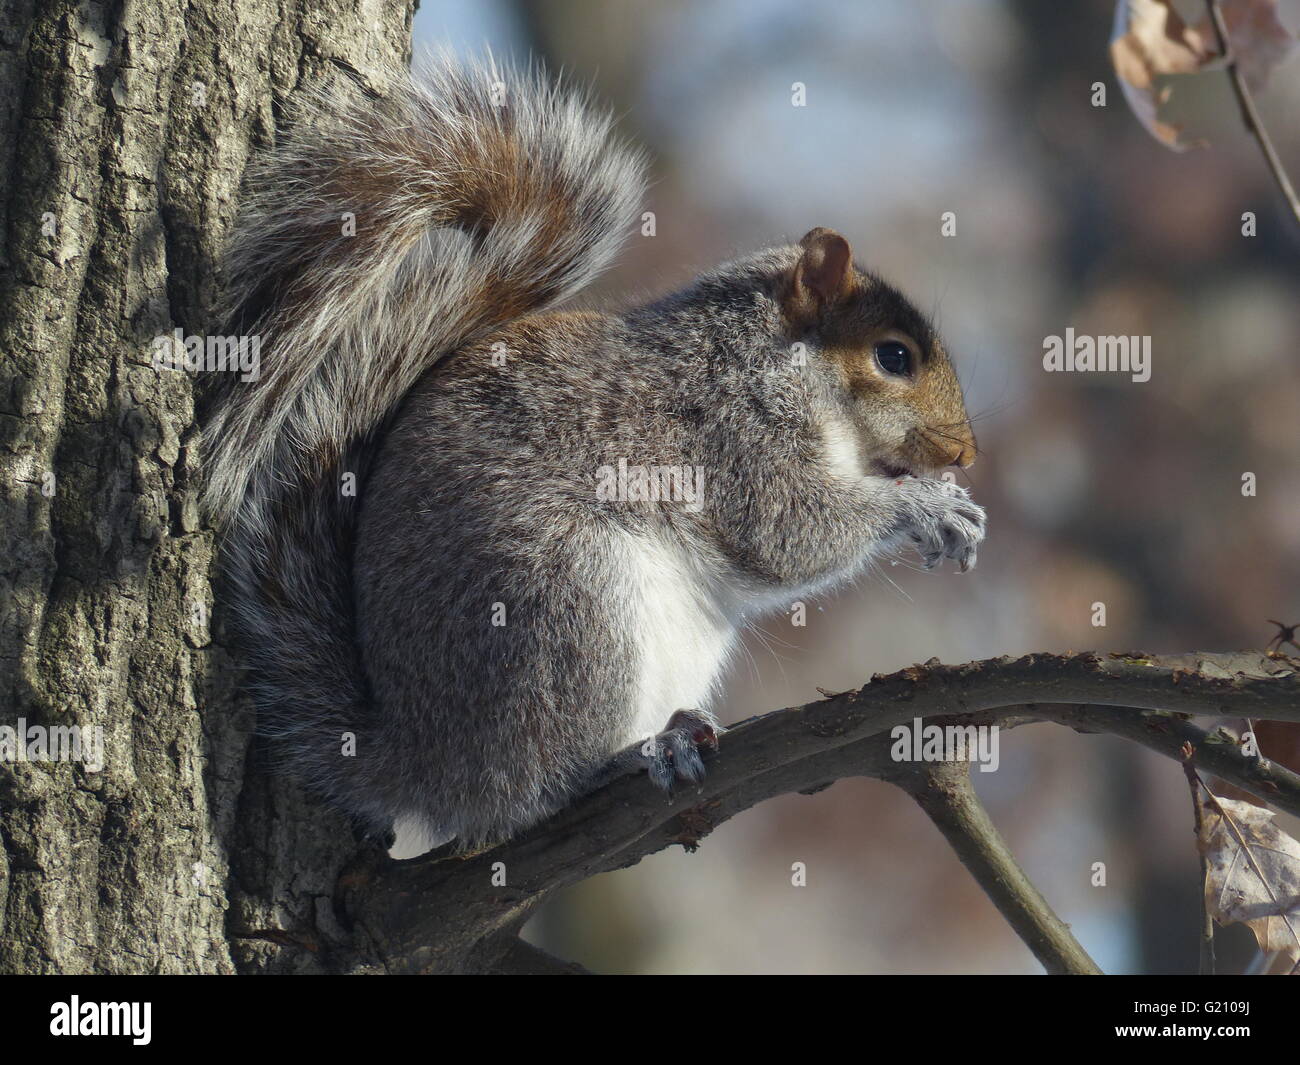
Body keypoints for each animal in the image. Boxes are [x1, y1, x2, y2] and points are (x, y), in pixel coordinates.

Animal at [203, 56, 986, 850]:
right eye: (893, 357)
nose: (965, 455)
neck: (770, 359)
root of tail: (426, 765)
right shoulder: (728, 433)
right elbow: (787, 533)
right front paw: (928, 508)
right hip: (563, 596)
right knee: (536, 788)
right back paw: (630, 756)